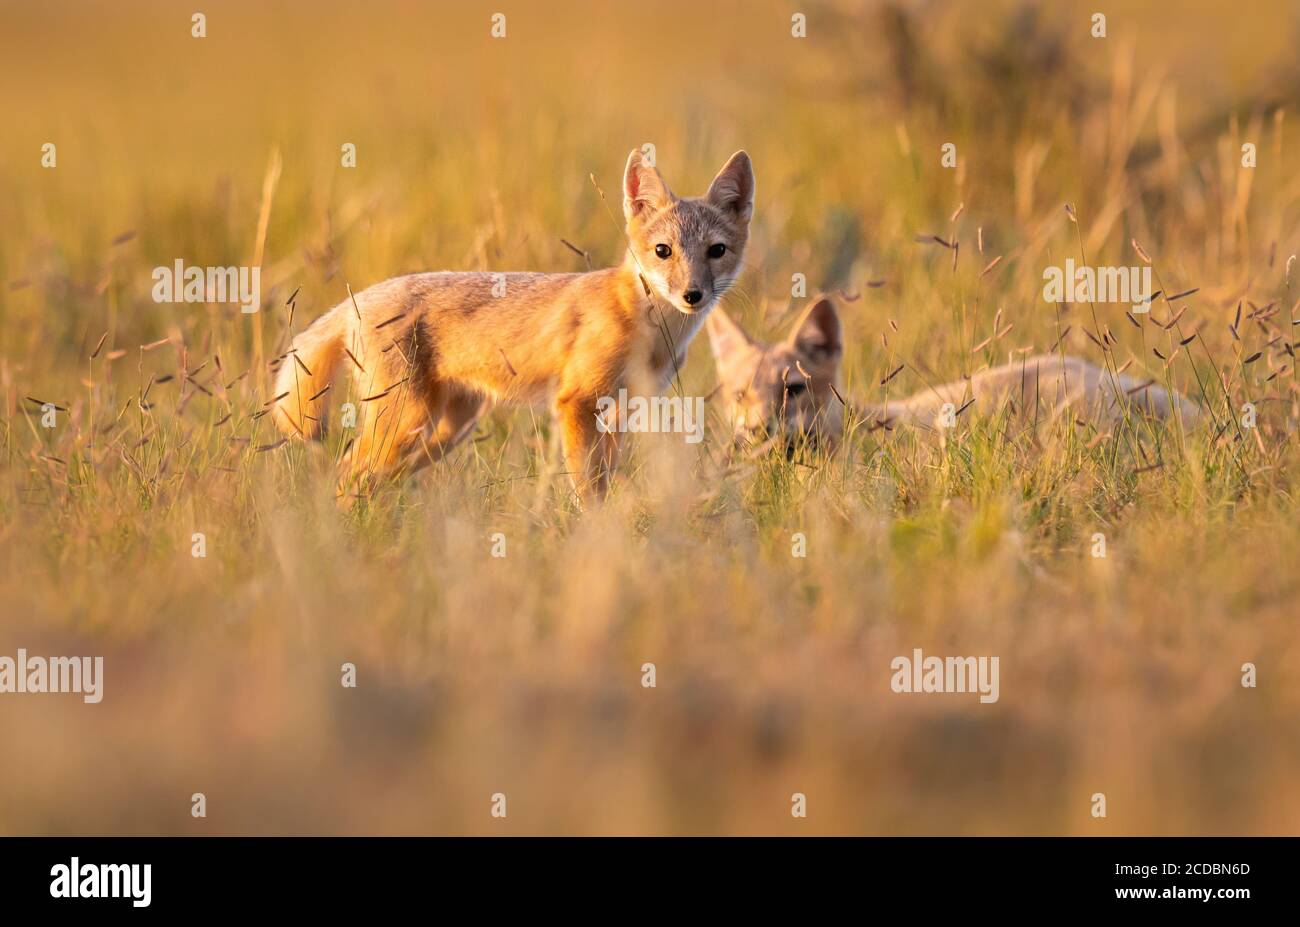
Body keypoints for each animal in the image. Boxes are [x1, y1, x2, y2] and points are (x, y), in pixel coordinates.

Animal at [272, 148, 755, 498]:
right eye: (663, 251)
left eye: (716, 251)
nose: (692, 295)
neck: (648, 327)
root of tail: (361, 296)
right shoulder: (576, 402)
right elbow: (588, 488)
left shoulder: (624, 407)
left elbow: (606, 480)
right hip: (406, 421)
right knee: (348, 472)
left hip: (445, 430)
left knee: (373, 477)